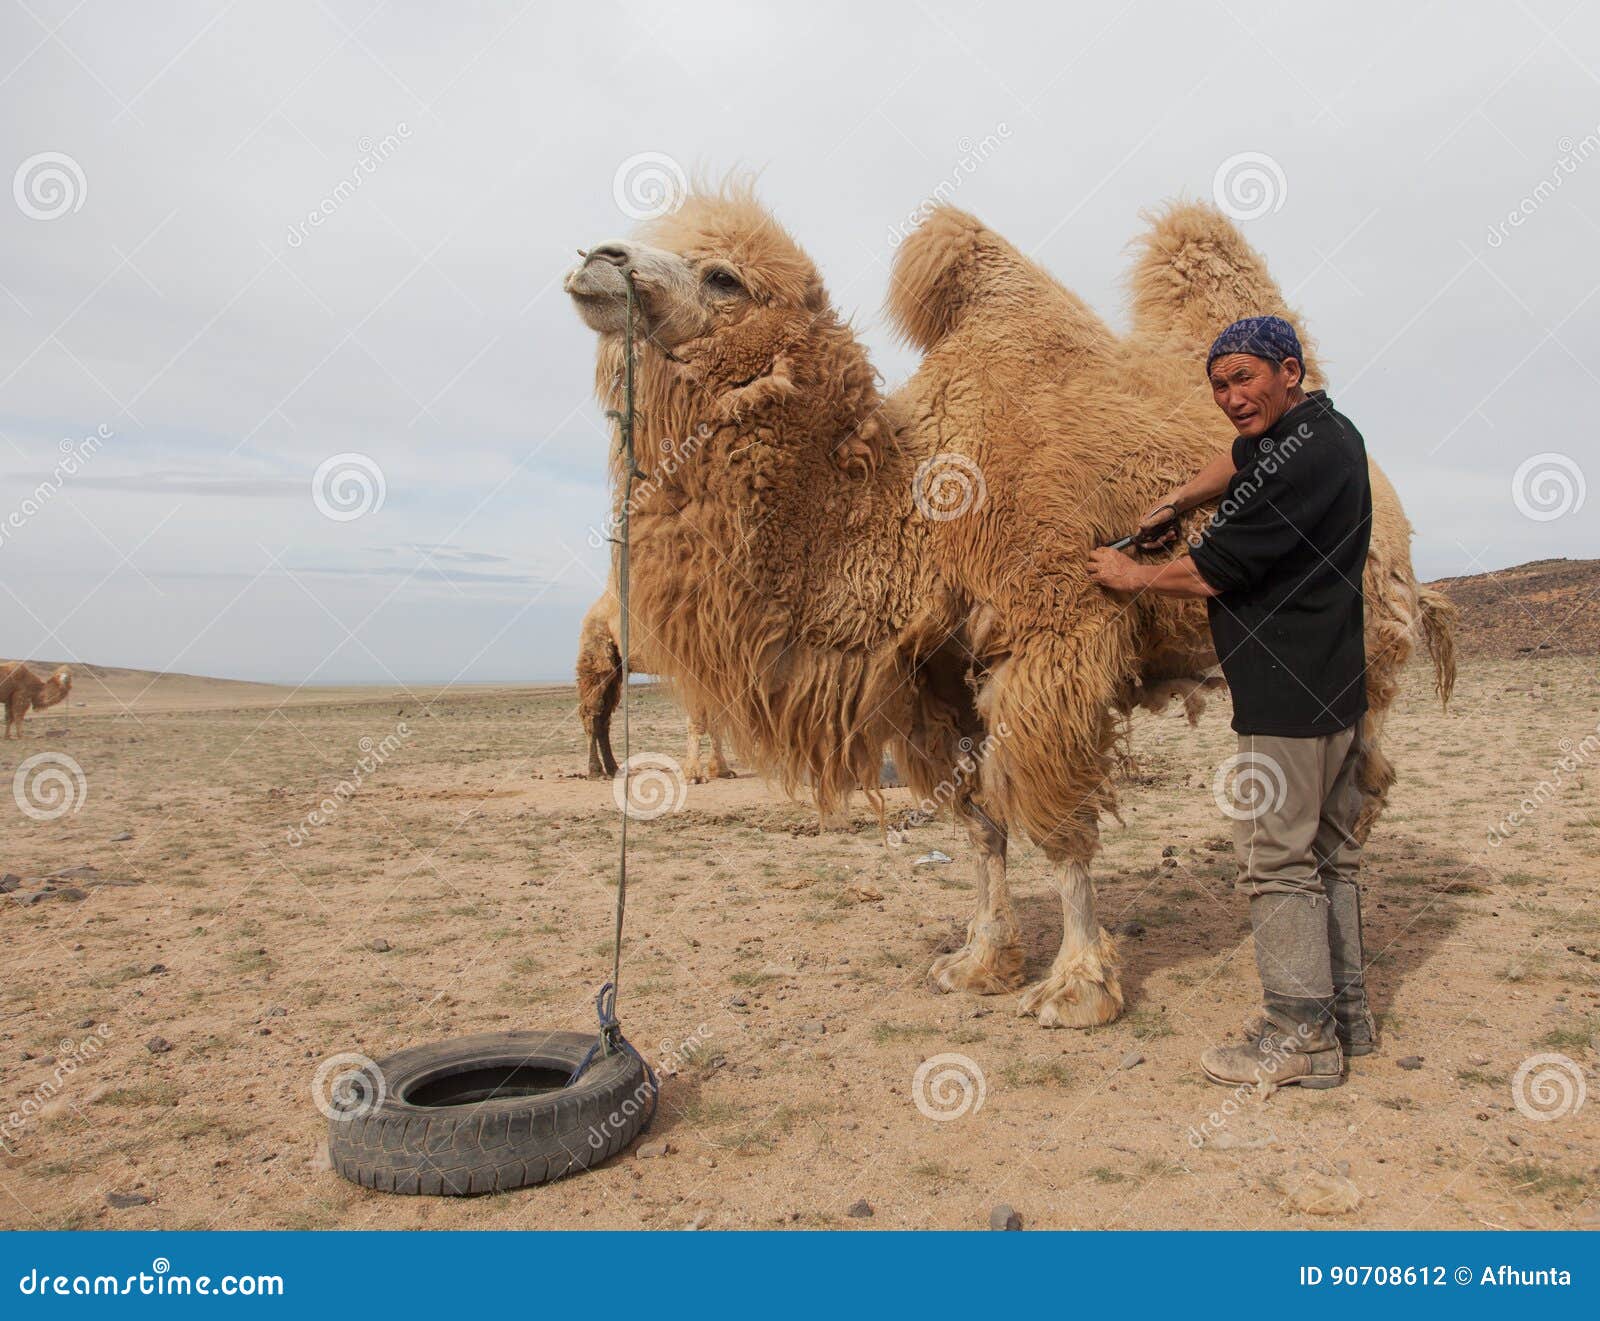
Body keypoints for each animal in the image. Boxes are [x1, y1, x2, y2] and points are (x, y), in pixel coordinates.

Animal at [577, 586, 734, 783]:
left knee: (604, 717)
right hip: (596, 650)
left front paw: (722, 770)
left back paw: (613, 768)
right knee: (591, 712)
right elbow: (699, 720)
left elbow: (715, 721)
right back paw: (596, 771)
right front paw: (693, 774)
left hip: (616, 669)